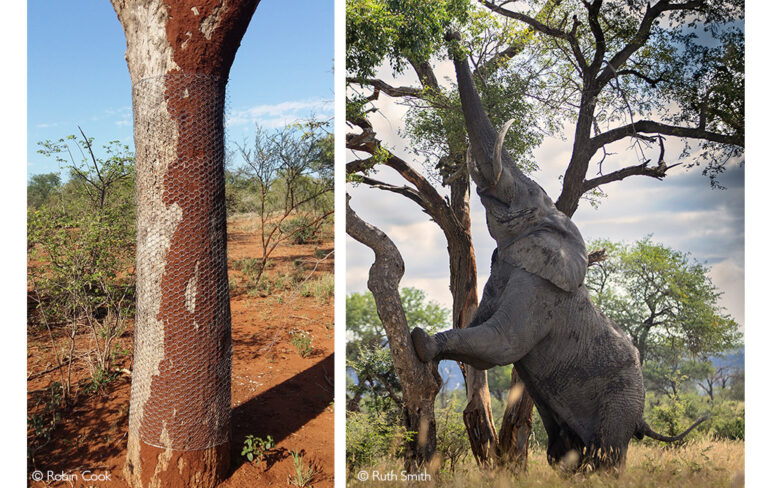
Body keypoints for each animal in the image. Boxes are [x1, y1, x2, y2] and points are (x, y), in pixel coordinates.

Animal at [411, 33, 705, 470]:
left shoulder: (541, 290)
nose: (452, 34)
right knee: (565, 451)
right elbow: (486, 333)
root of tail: (643, 415)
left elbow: (501, 344)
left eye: (530, 194)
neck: (555, 229)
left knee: (605, 453)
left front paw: (420, 341)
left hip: (621, 400)